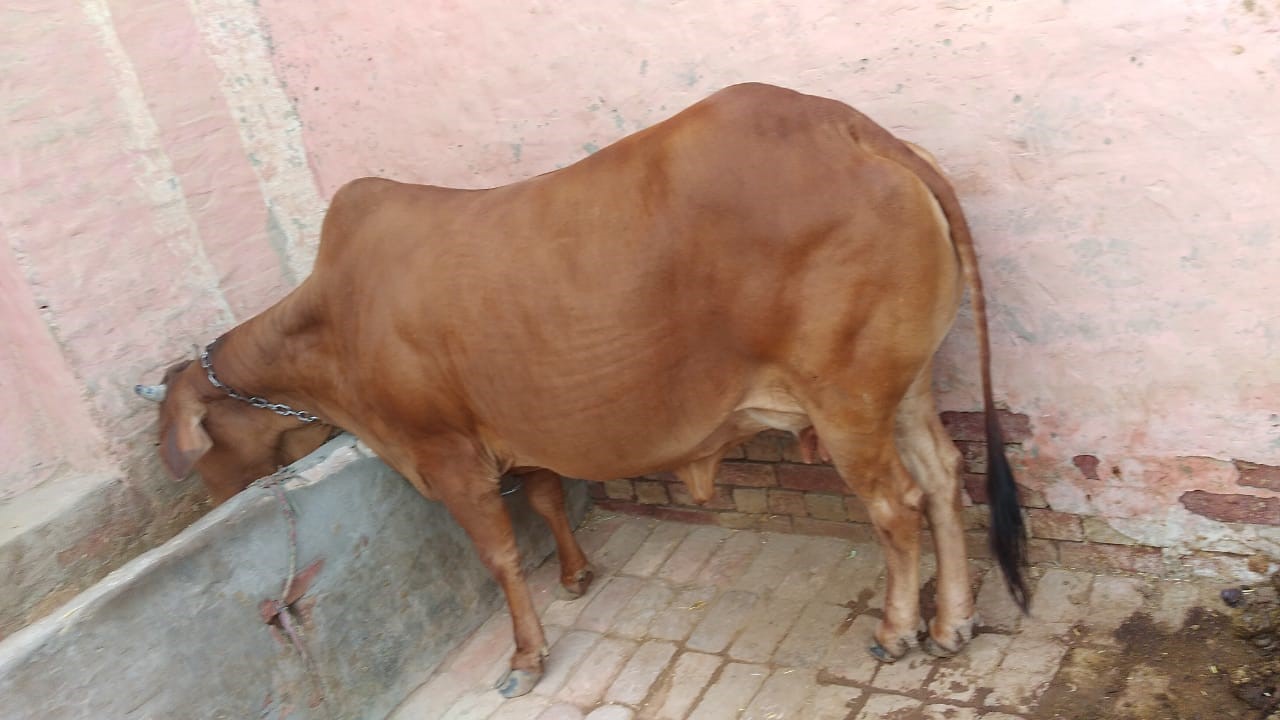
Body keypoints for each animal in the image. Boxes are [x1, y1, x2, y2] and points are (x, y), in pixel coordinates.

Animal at [135, 82, 1028, 698]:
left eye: (193, 447)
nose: (206, 500)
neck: (332, 320)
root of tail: (854, 129)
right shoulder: (514, 430)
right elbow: (544, 495)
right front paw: (574, 575)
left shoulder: (447, 453)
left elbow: (498, 555)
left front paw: (526, 656)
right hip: (903, 387)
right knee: (945, 481)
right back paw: (953, 622)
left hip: (846, 404)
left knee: (896, 507)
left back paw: (899, 629)